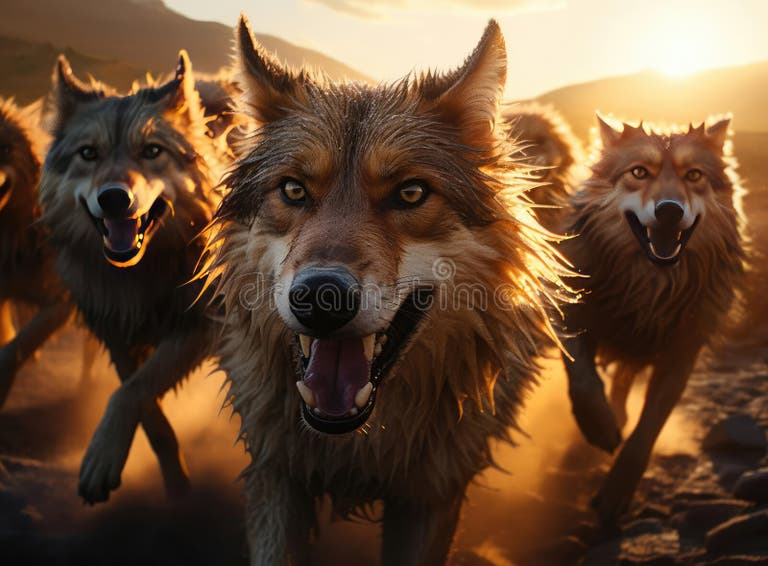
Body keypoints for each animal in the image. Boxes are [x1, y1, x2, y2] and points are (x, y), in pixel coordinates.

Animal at [39, 51, 223, 504]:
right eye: (89, 153)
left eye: (151, 151)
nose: (113, 198)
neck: (139, 279)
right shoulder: (116, 333)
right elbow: (150, 414)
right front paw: (176, 485)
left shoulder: (200, 326)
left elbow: (132, 392)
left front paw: (101, 460)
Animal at [199, 16, 568, 564]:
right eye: (293, 190)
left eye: (411, 193)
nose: (321, 296)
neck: (358, 446)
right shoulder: (276, 472)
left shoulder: (431, 495)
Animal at [560, 115, 745, 525]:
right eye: (639, 172)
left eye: (694, 175)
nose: (669, 211)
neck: (649, 286)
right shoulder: (569, 314)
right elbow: (583, 382)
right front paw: (599, 429)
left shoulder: (681, 357)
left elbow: (645, 434)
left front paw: (616, 494)